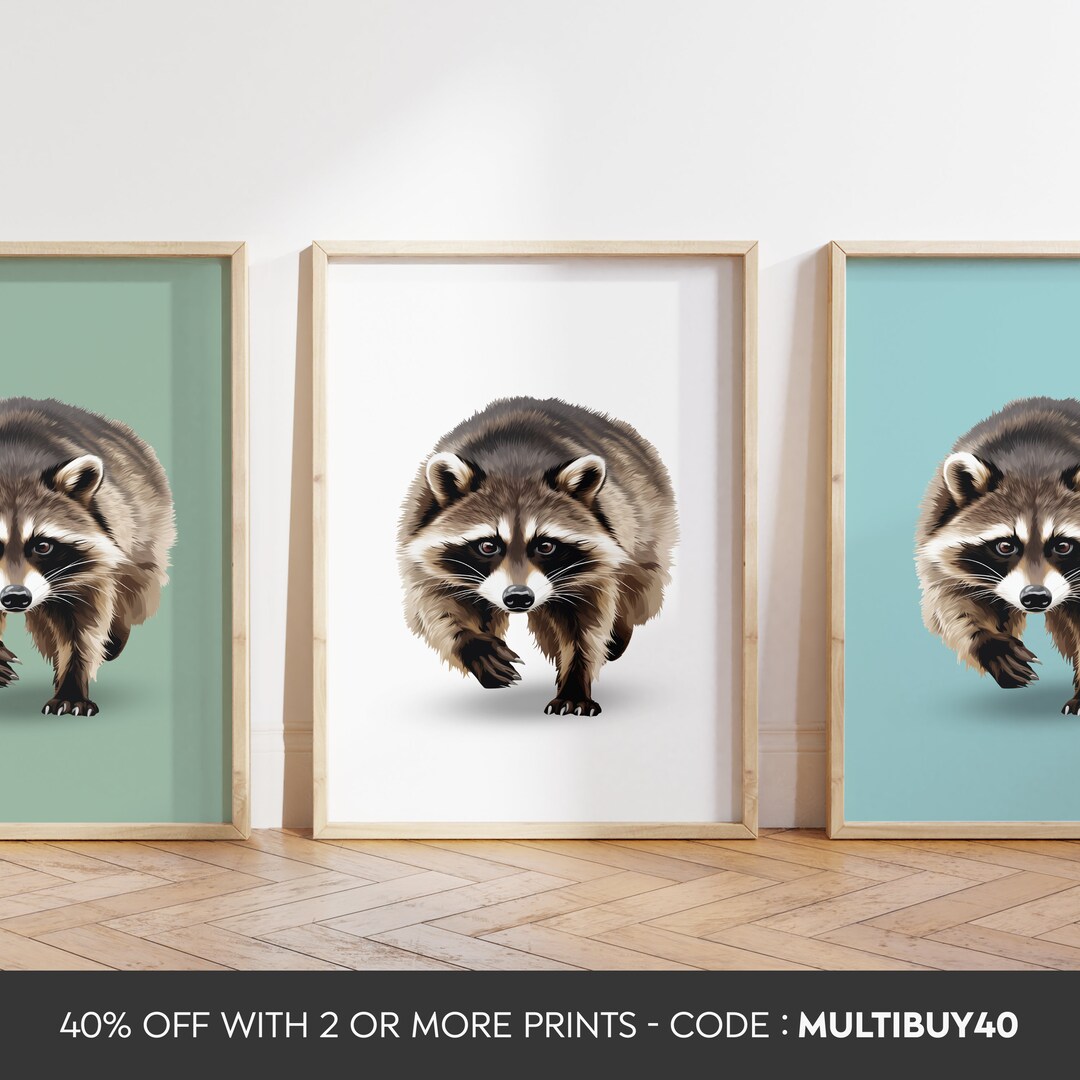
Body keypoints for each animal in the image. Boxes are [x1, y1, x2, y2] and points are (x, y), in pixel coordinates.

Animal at [0, 397, 175, 716]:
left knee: (136, 589)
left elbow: (83, 626)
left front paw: (72, 683)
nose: (15, 597)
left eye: (42, 546)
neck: (10, 464)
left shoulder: (88, 568)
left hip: (144, 524)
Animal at [397, 397, 678, 715]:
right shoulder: (421, 539)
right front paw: (473, 646)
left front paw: (576, 678)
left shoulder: (594, 565)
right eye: (488, 546)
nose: (519, 597)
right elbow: (435, 606)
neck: (513, 463)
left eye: (545, 546)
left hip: (648, 527)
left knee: (640, 591)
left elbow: (586, 627)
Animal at [916, 396, 1080, 714]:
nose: (1036, 597)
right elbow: (949, 598)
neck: (1034, 461)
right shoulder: (938, 525)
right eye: (1005, 546)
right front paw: (989, 643)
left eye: (1063, 546)